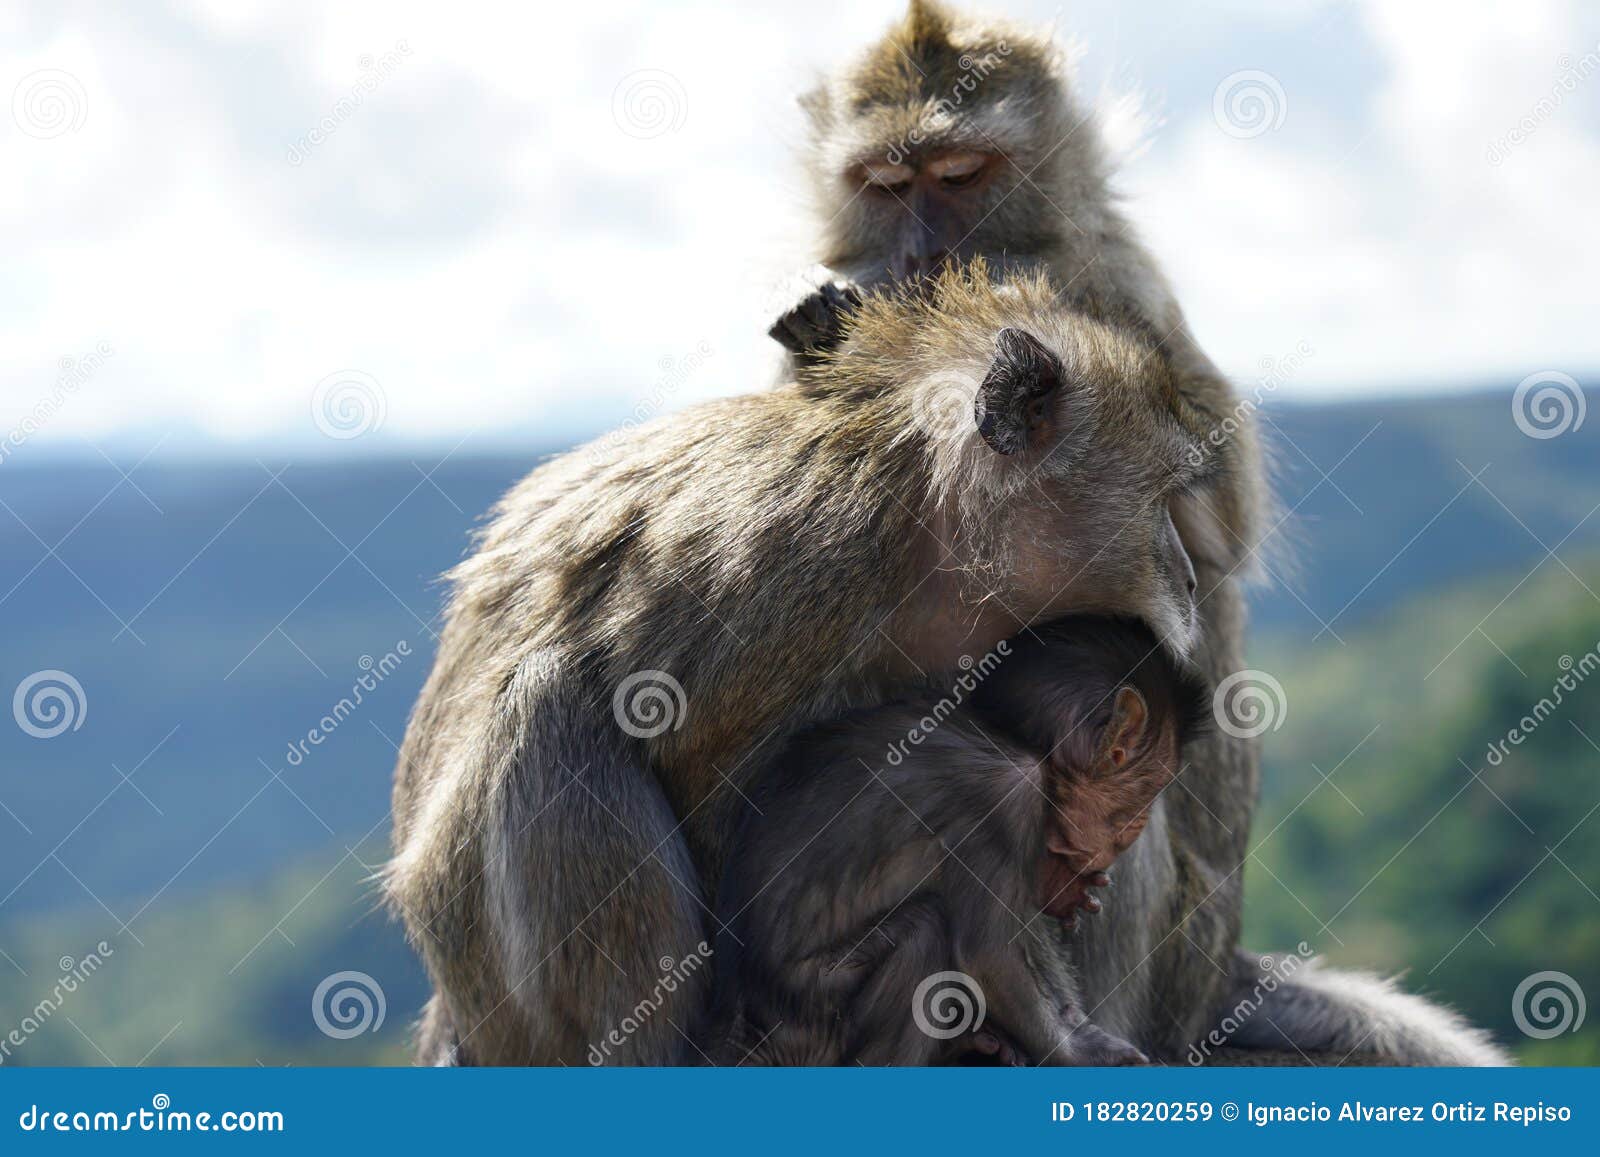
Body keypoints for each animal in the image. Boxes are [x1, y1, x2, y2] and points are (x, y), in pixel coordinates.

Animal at [703, 616, 1207, 1067]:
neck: (1015, 738)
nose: (1137, 825)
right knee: (923, 936)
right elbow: (990, 956)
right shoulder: (1008, 801)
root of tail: (744, 1037)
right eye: (1145, 796)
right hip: (813, 1029)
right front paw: (1080, 1051)